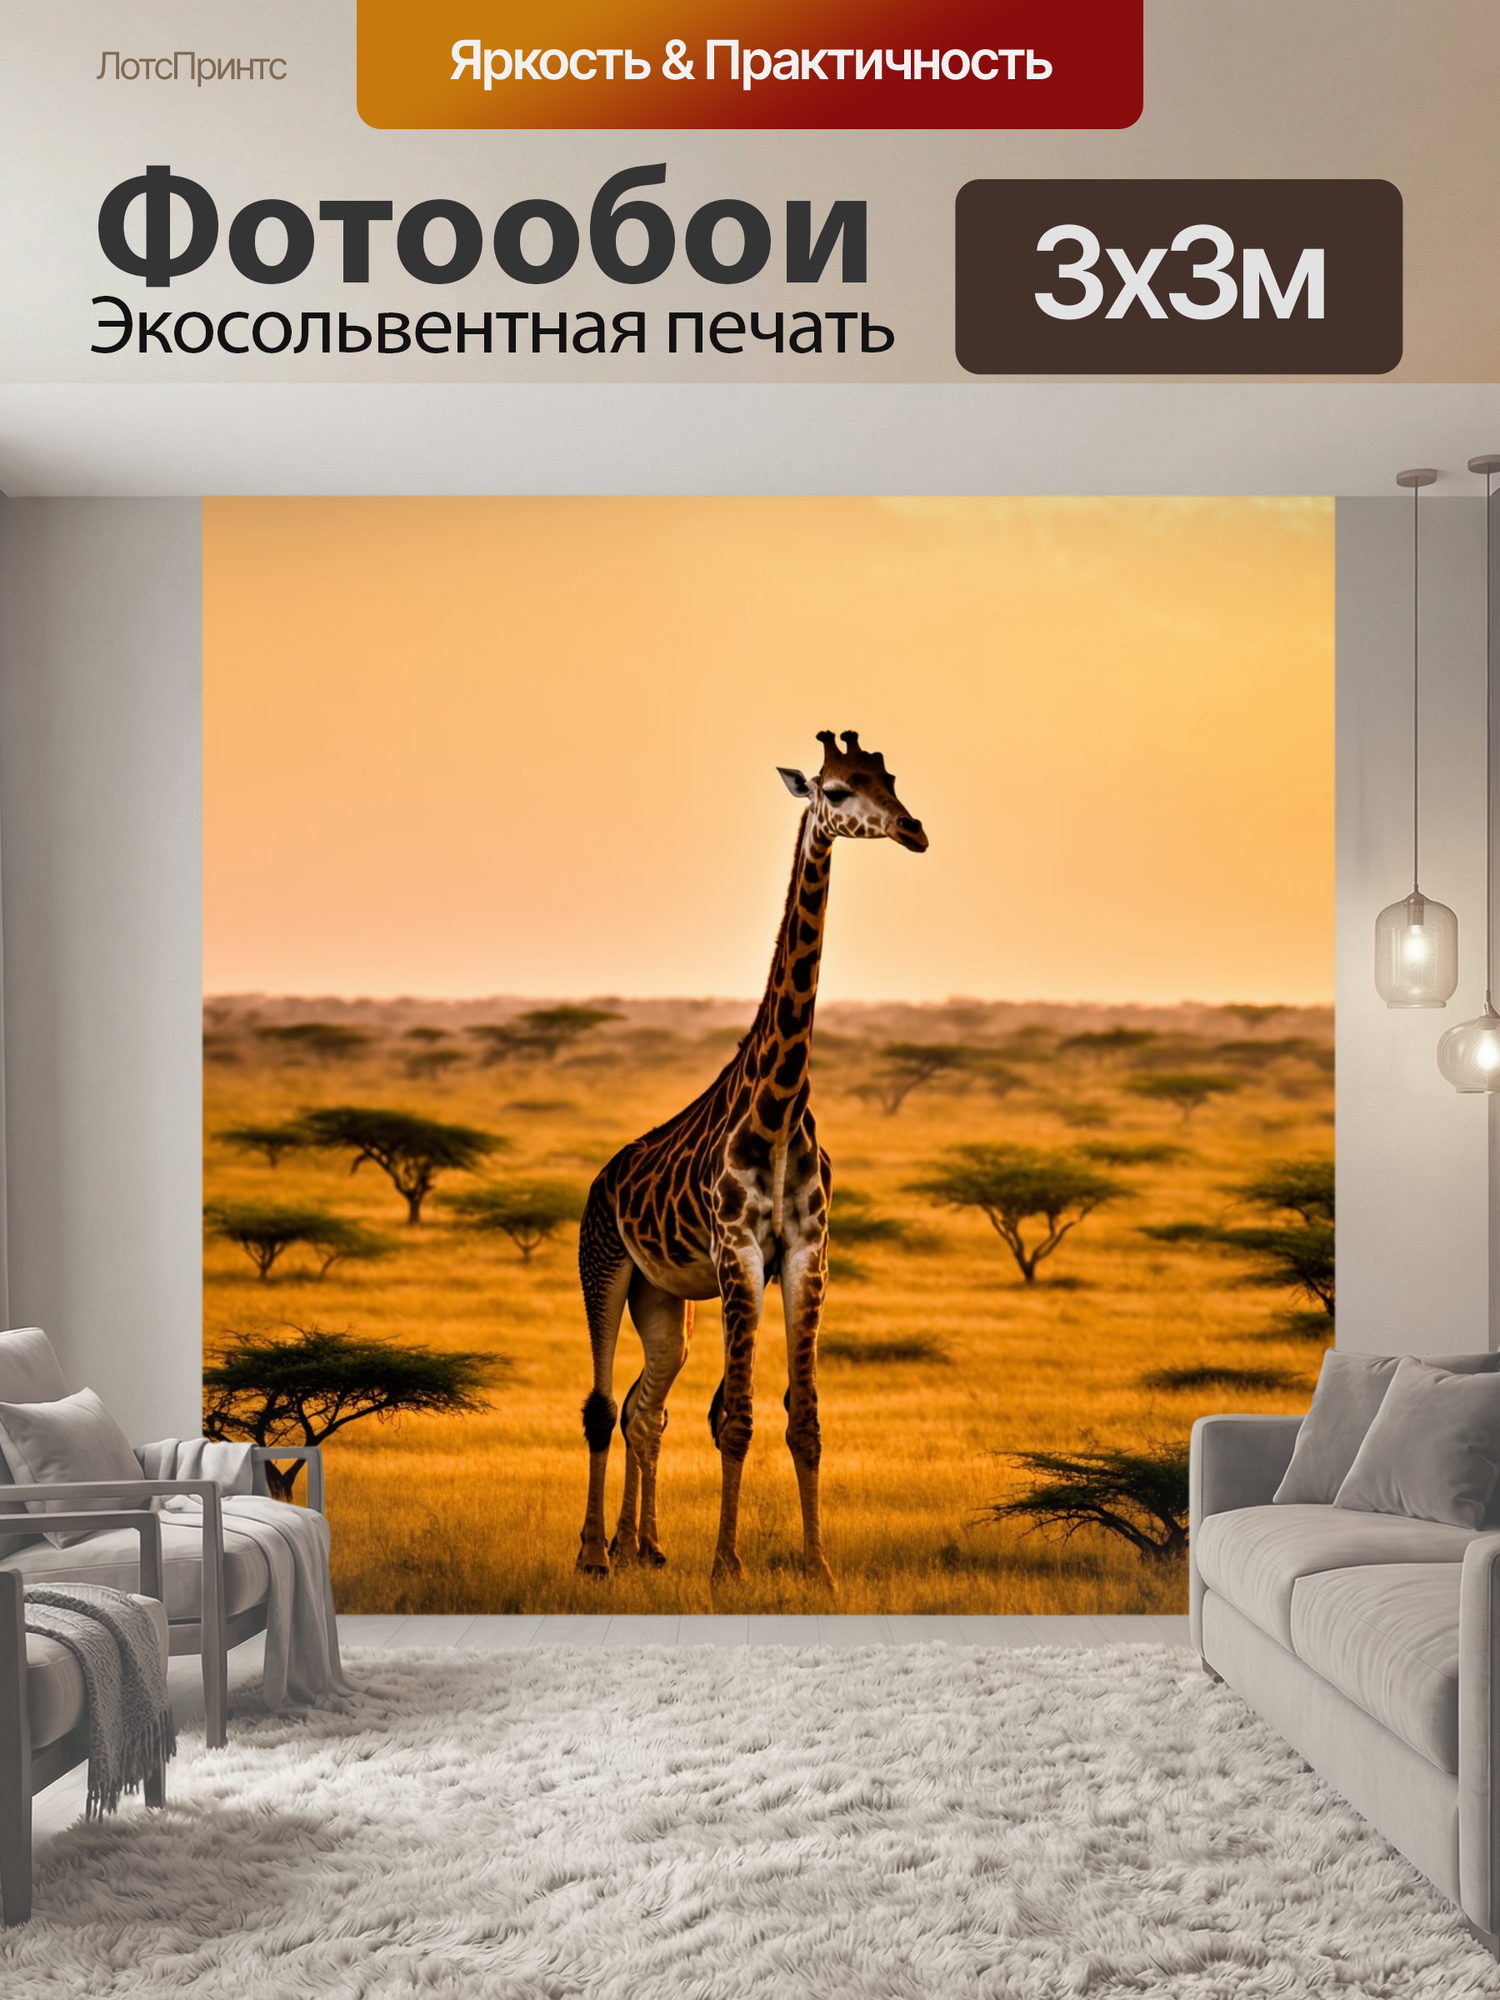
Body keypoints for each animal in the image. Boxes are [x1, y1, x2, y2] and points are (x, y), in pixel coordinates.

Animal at [575, 730, 928, 1592]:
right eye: (836, 790)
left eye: (890, 781)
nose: (914, 830)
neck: (780, 1107)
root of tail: (602, 1179)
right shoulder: (738, 1254)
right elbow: (735, 1420)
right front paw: (727, 1567)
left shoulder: (805, 1255)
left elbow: (803, 1421)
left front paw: (819, 1567)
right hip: (604, 1266)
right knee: (599, 1406)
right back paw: (594, 1553)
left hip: (666, 1300)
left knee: (642, 1405)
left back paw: (643, 1547)